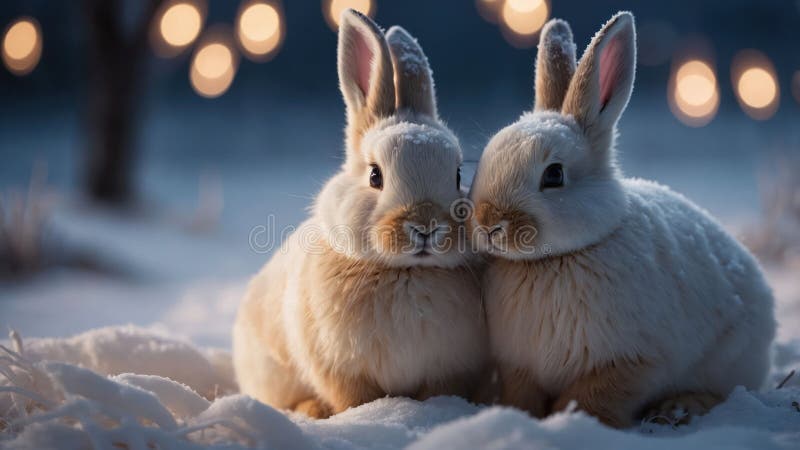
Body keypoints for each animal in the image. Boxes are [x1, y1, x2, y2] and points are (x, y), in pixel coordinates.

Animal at [233, 9, 488, 418]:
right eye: (375, 176)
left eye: (458, 175)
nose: (426, 227)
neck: (406, 271)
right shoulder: (339, 368)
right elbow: (353, 399)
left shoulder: (448, 370)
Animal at [468, 12, 775, 428]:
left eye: (554, 175)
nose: (489, 224)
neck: (555, 259)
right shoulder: (519, 368)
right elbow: (523, 395)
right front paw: (520, 417)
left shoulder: (634, 362)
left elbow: (593, 397)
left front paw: (574, 423)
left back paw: (678, 408)